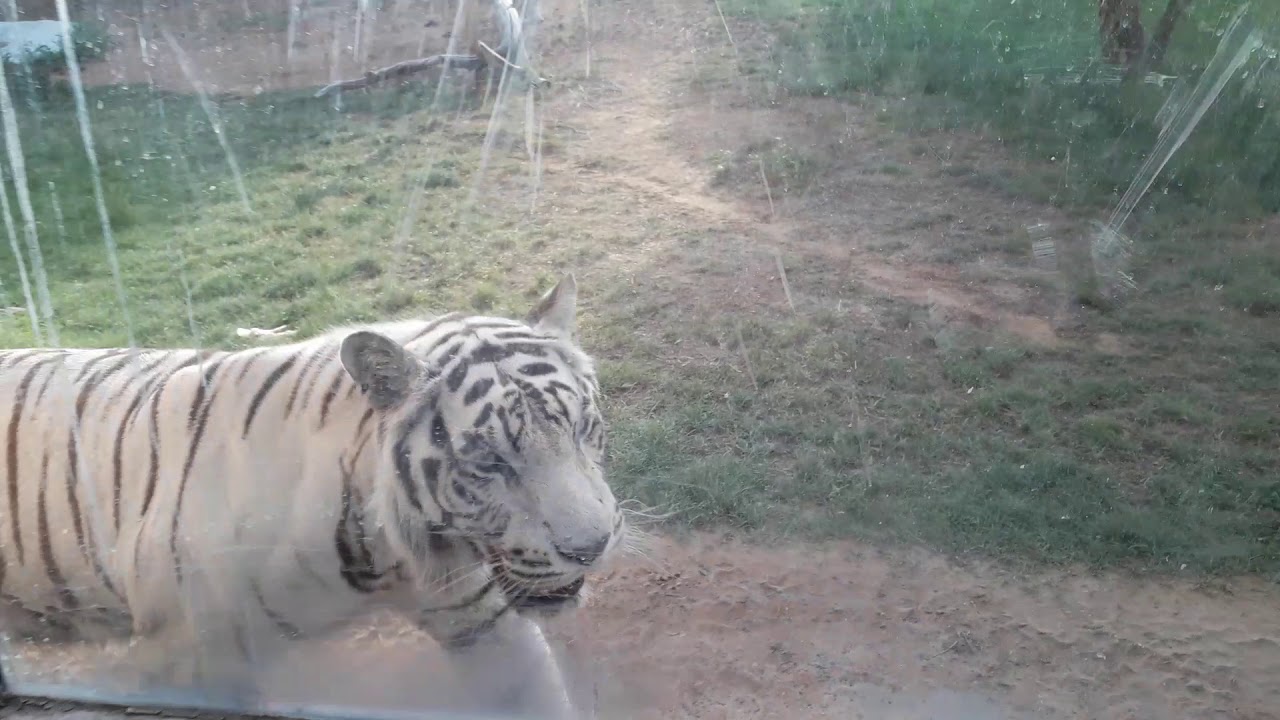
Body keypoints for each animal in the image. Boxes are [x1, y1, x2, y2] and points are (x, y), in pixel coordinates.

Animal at [0, 274, 622, 719]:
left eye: (583, 428)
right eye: (489, 461)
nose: (592, 548)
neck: (383, 557)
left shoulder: (481, 622)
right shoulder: (187, 664)